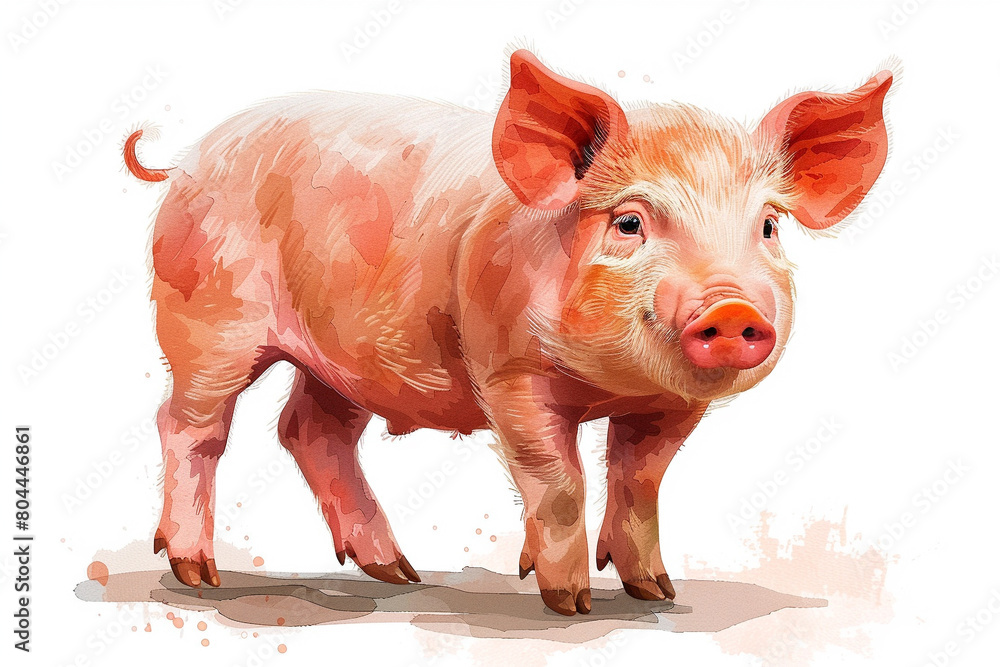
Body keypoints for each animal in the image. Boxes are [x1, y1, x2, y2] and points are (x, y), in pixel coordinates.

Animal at [126, 50, 893, 615]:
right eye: (629, 222)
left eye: (767, 225)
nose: (731, 308)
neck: (609, 386)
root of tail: (189, 158)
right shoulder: (508, 375)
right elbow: (558, 480)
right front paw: (569, 602)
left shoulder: (675, 405)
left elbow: (641, 479)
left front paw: (656, 592)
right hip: (210, 322)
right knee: (189, 424)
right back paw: (198, 573)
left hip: (341, 358)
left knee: (309, 430)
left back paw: (396, 573)